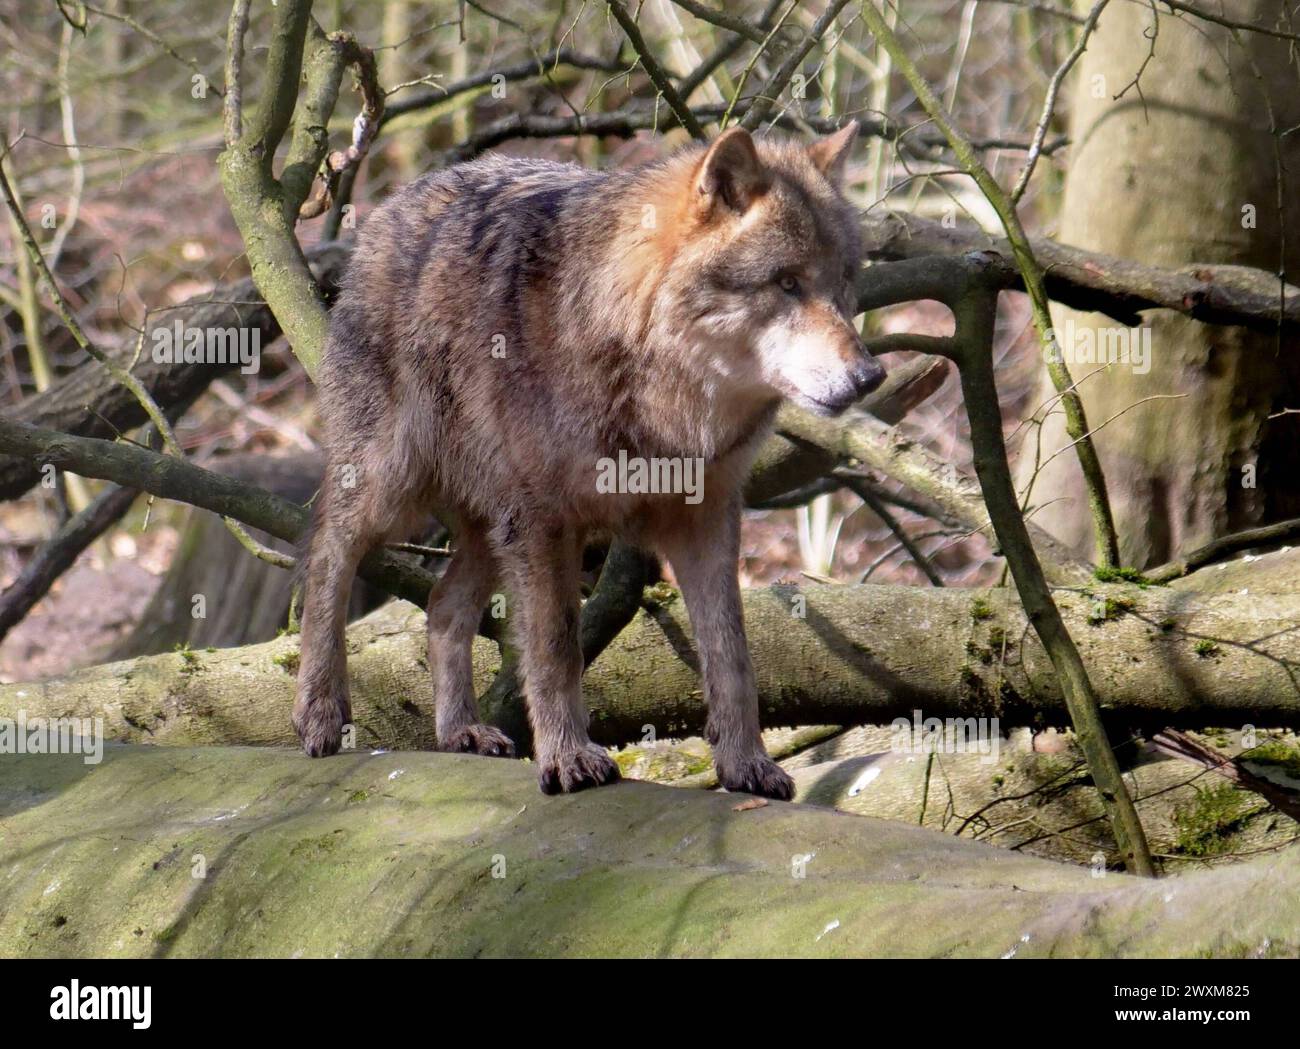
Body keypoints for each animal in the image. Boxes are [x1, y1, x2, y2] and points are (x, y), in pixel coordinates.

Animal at [294, 124, 884, 799]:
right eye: (786, 283)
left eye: (843, 282)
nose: (871, 376)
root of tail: (397, 201)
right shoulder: (545, 522)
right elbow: (556, 648)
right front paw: (568, 757)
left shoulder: (706, 520)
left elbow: (732, 653)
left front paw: (745, 765)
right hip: (395, 489)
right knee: (326, 555)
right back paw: (320, 713)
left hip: (490, 525)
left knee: (442, 607)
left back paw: (460, 732)